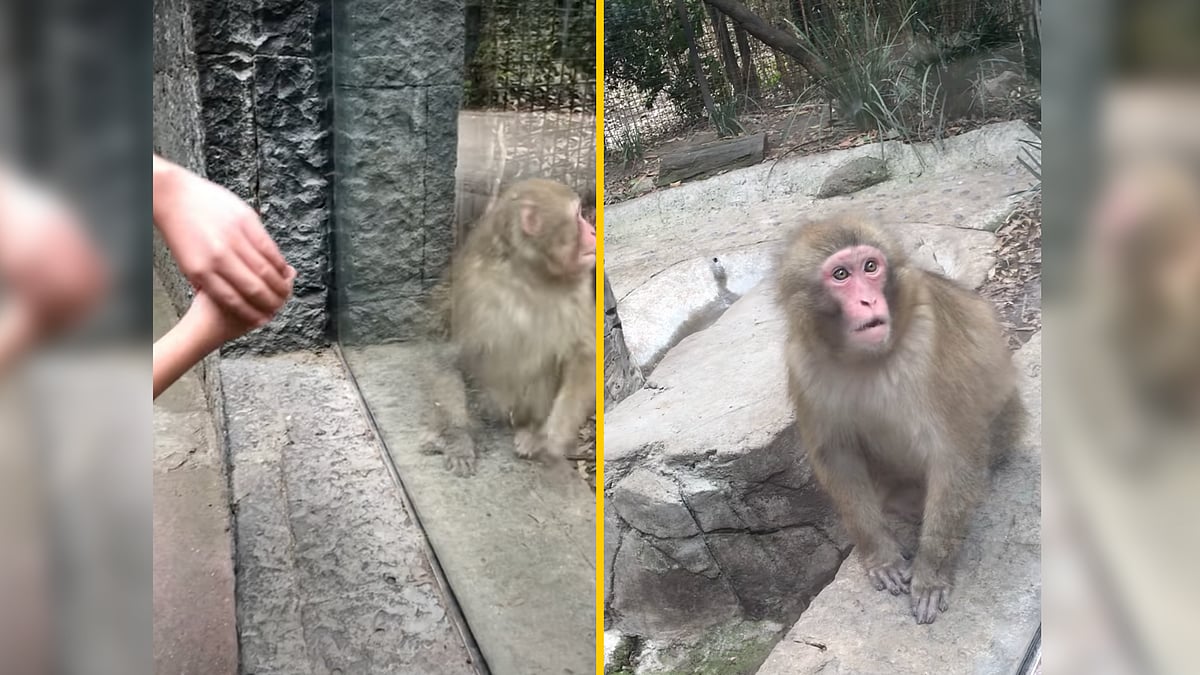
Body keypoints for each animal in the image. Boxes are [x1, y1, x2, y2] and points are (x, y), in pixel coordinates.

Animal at [424, 178, 596, 476]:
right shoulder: (471, 290)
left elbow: (583, 356)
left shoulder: (580, 287)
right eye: (577, 215)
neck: (531, 276)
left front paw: (547, 439)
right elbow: (446, 356)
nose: (593, 230)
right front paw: (458, 438)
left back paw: (530, 430)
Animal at [776, 214, 1024, 625]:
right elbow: (837, 456)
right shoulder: (802, 359)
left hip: (1007, 425)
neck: (866, 358)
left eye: (870, 267)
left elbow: (954, 454)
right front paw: (882, 556)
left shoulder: (929, 339)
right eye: (841, 274)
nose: (868, 299)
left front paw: (930, 574)